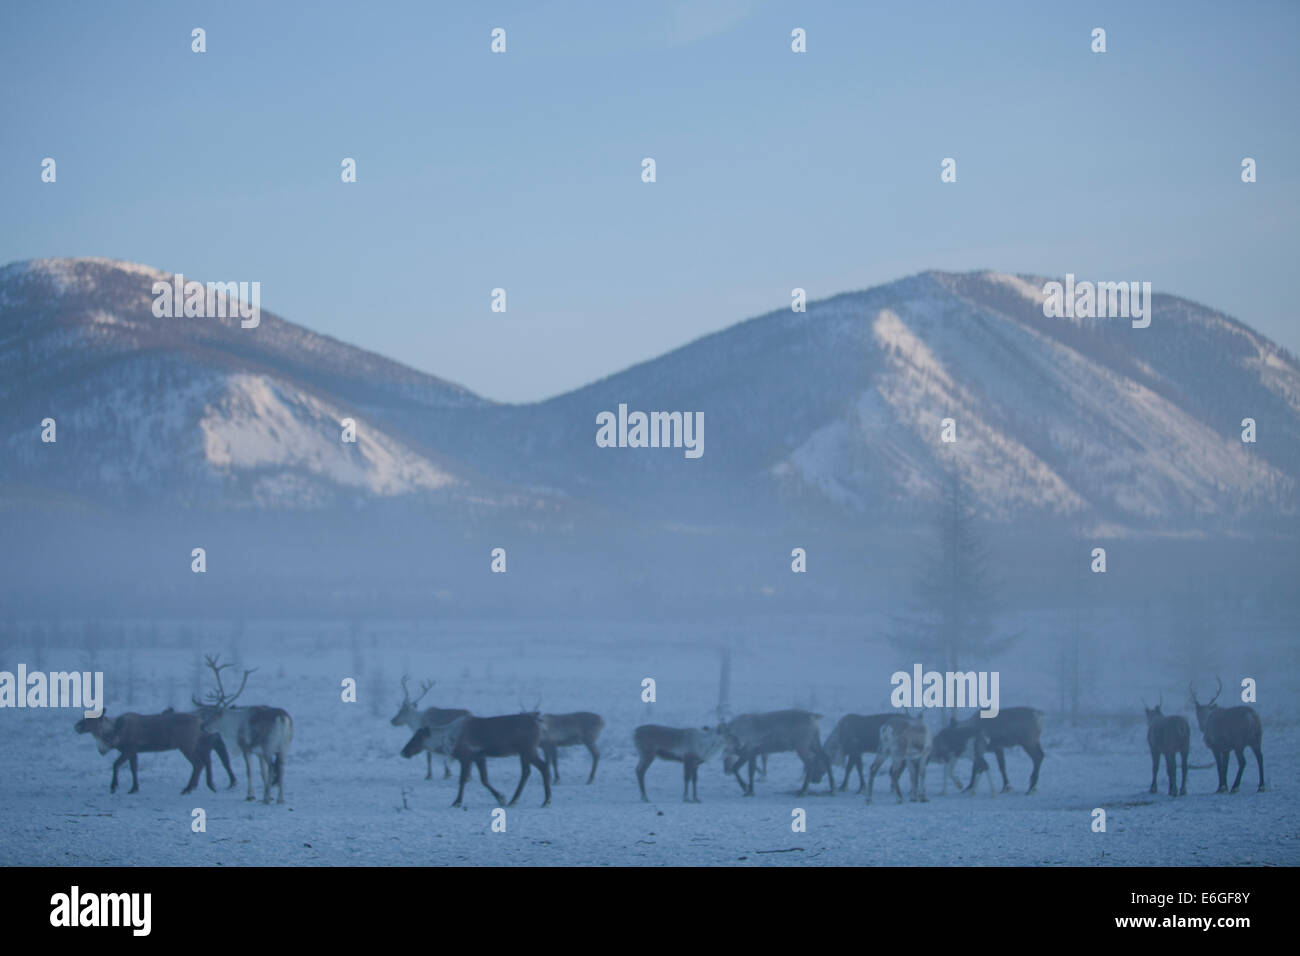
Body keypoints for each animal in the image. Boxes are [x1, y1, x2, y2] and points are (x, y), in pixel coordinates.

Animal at [74, 711, 221, 795]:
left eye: (90, 719)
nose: (77, 726)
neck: (114, 732)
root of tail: (201, 722)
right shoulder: (134, 752)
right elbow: (134, 768)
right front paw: (134, 788)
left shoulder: (129, 749)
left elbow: (116, 765)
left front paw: (114, 786)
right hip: (192, 745)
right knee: (203, 761)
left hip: (186, 746)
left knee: (198, 764)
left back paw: (188, 788)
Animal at [191, 655, 293, 804]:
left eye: (212, 715)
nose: (203, 727)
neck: (233, 726)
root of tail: (282, 718)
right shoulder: (259, 753)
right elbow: (262, 772)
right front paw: (267, 795)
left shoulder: (245, 748)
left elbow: (249, 771)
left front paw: (251, 796)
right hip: (284, 748)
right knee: (281, 768)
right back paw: (280, 798)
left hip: (268, 746)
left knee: (272, 767)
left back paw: (268, 799)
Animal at [401, 712, 551, 808]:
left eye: (417, 738)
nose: (404, 752)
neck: (448, 739)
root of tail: (540, 723)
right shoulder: (479, 757)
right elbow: (484, 780)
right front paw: (501, 798)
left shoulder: (466, 757)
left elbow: (463, 780)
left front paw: (457, 802)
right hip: (524, 752)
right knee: (527, 771)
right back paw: (515, 800)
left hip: (527, 750)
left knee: (542, 767)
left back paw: (545, 801)